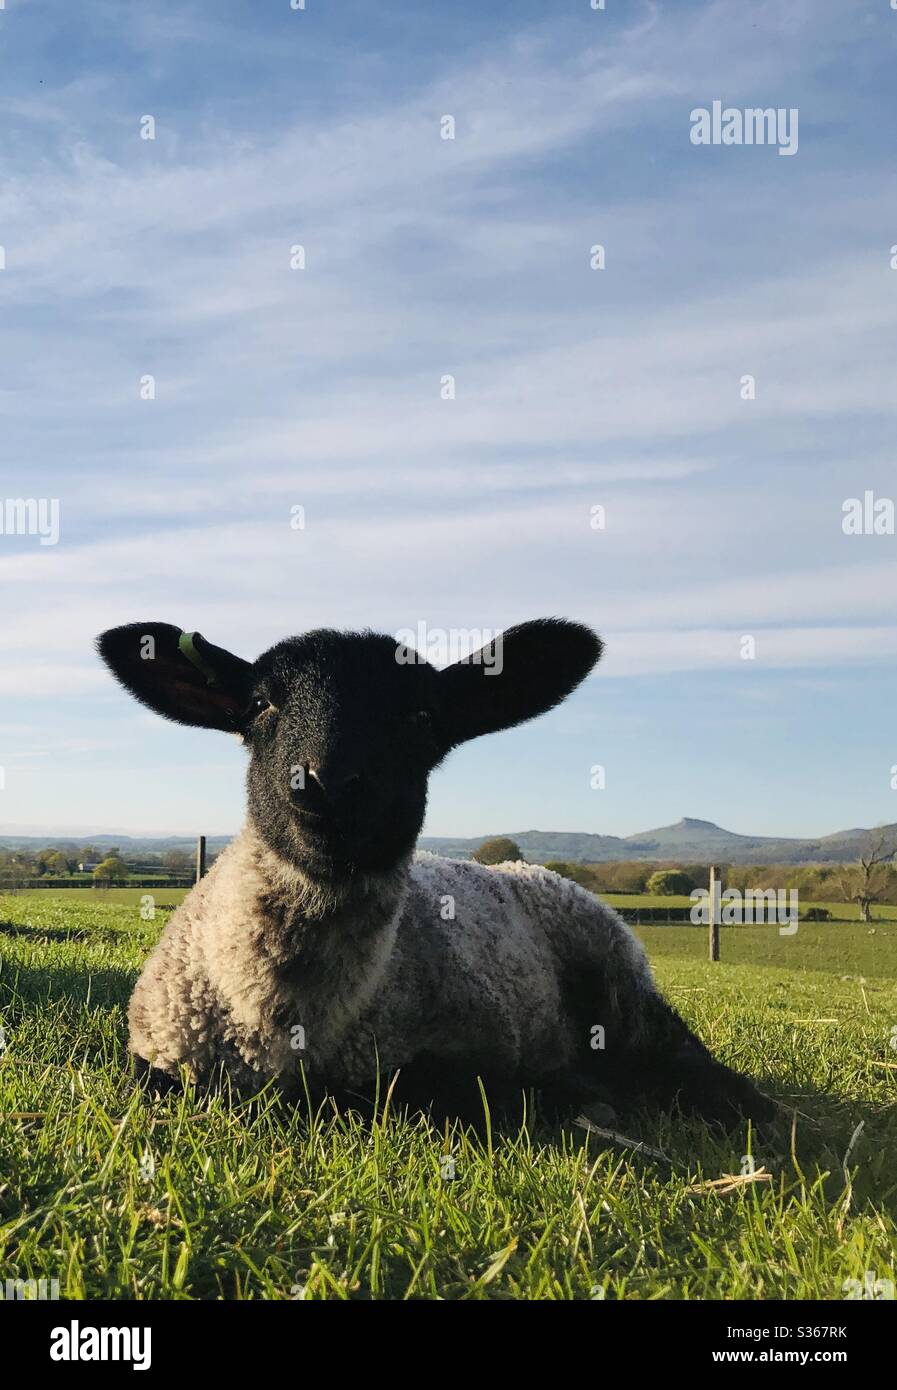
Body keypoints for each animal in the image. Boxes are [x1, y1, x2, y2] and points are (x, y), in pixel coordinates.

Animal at [96, 618, 774, 1128]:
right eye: (260, 705)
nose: (330, 785)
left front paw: (570, 1095)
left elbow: (425, 1091)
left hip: (617, 973)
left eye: (422, 717)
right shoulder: (158, 1064)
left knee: (677, 1053)